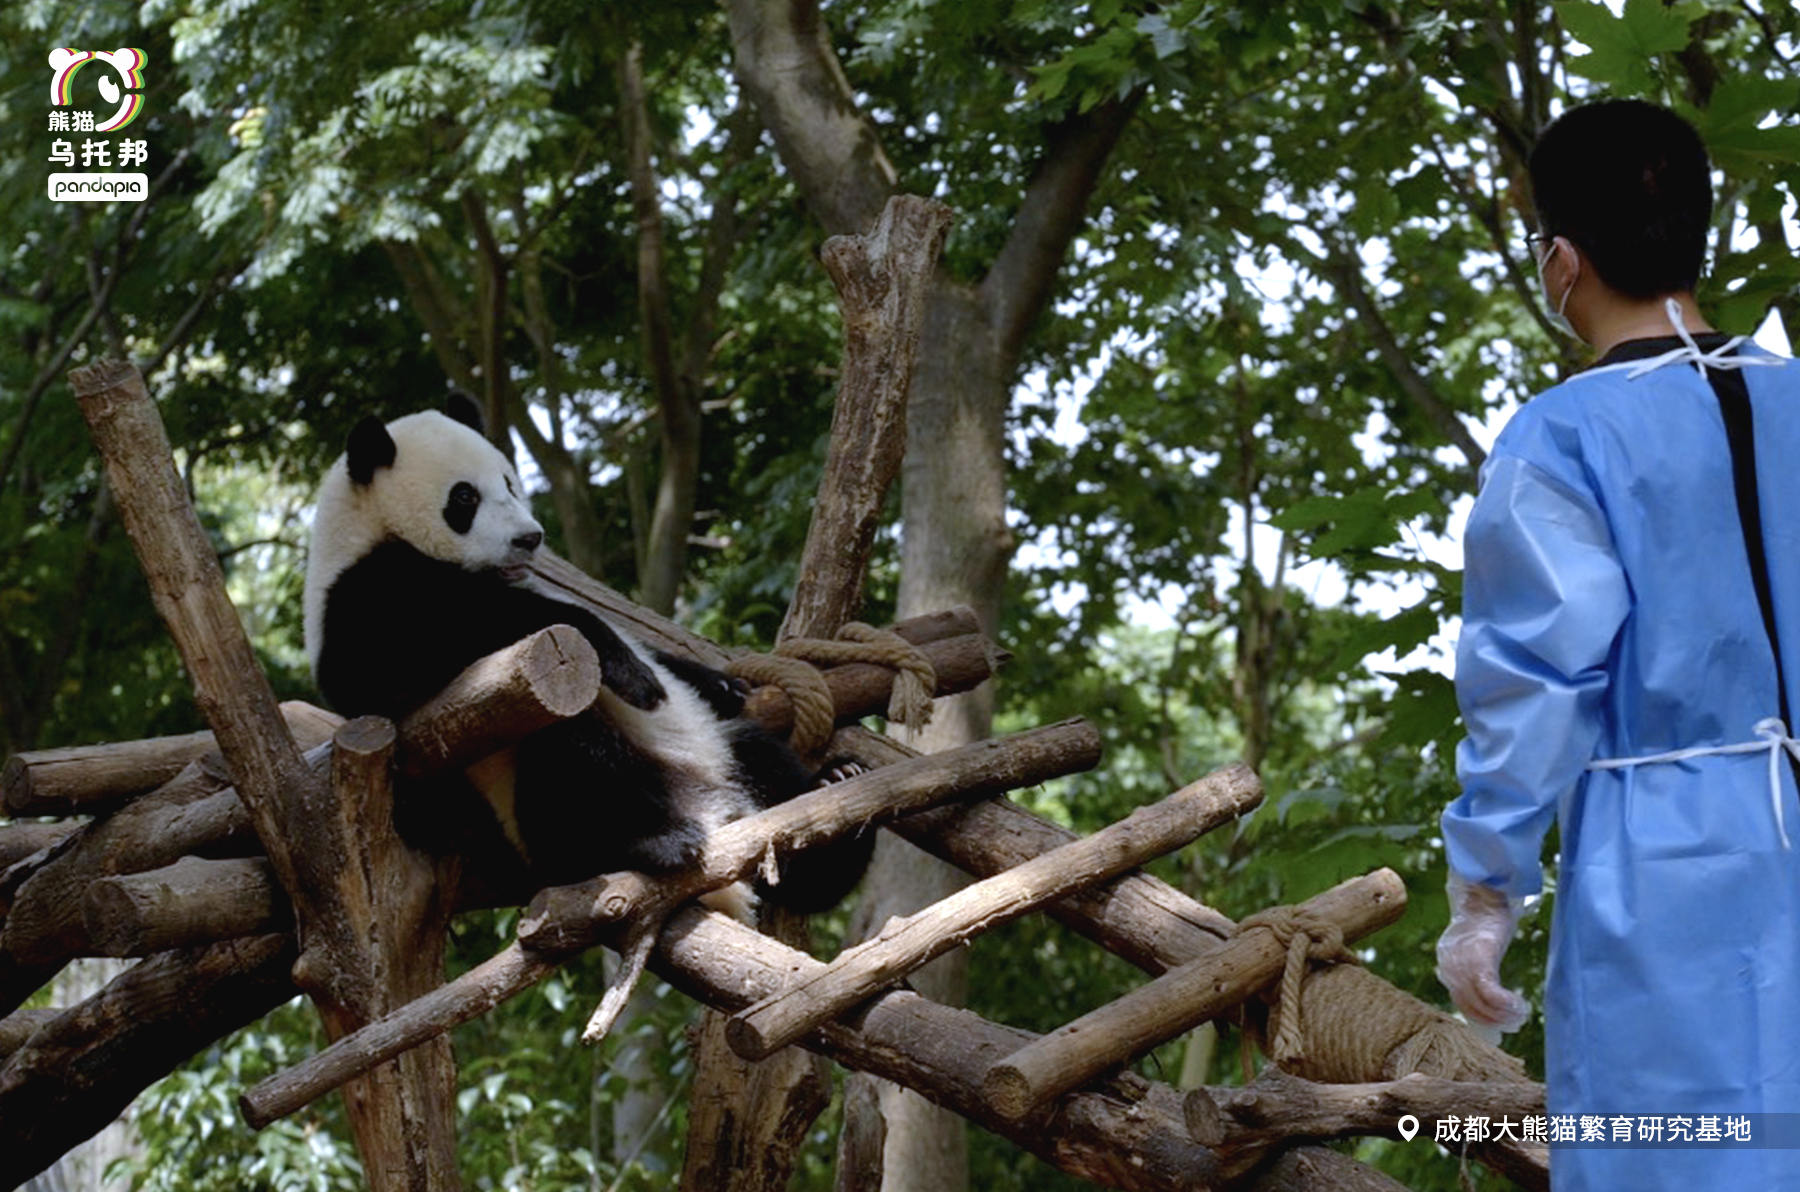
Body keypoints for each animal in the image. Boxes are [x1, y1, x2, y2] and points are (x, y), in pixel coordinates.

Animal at [302, 393, 870, 915]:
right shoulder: (365, 594)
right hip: (541, 803)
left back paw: (837, 794)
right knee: (572, 764)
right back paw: (656, 841)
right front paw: (632, 673)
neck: (367, 526)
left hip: (722, 751)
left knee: (767, 772)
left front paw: (720, 682)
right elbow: (414, 650)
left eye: (509, 482)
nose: (529, 538)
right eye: (464, 497)